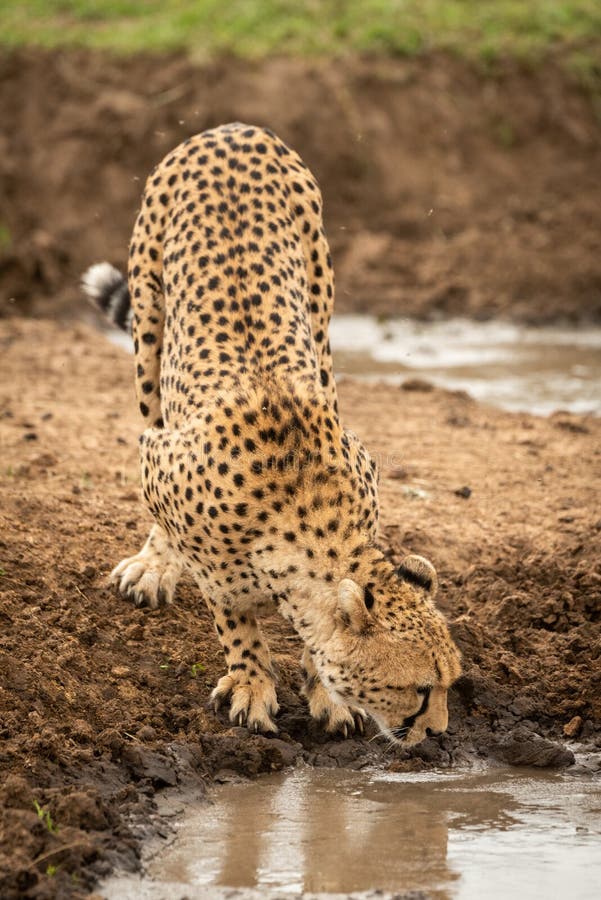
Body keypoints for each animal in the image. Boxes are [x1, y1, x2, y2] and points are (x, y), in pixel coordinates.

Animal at [83, 122, 461, 746]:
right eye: (418, 689)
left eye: (451, 681)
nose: (438, 734)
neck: (301, 508)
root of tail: (233, 129)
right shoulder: (159, 464)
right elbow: (229, 610)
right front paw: (251, 682)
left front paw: (326, 695)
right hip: (149, 333)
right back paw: (155, 565)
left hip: (320, 310)